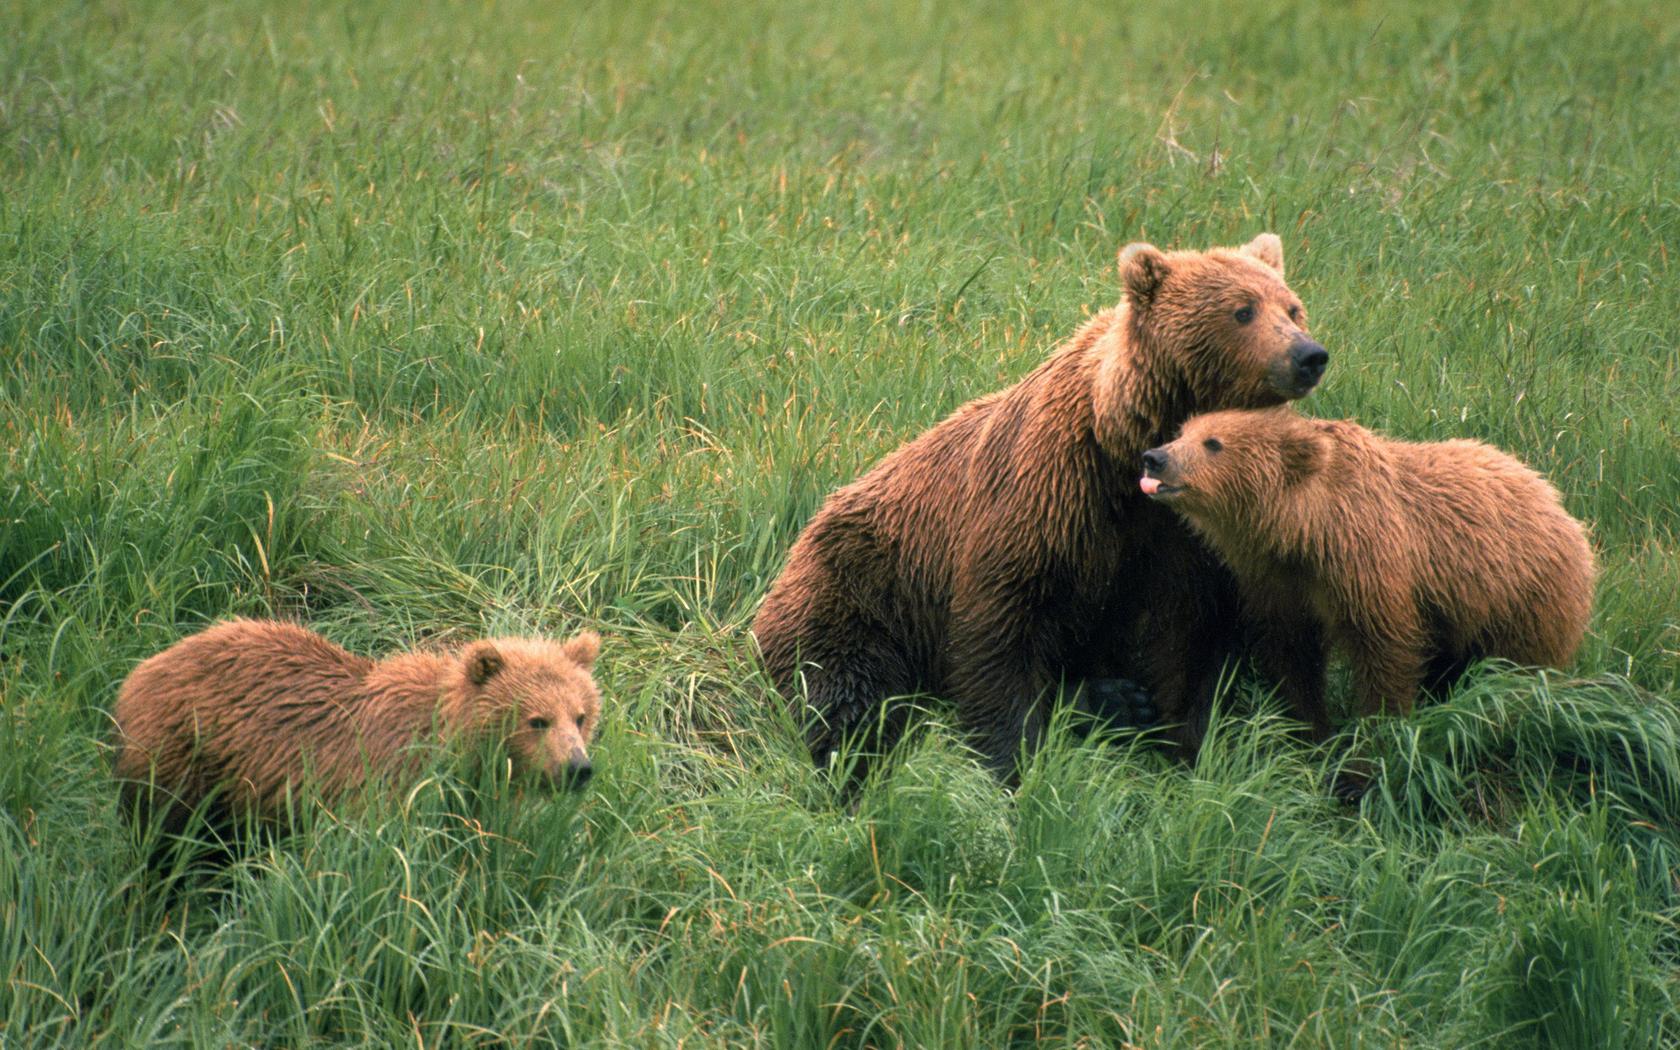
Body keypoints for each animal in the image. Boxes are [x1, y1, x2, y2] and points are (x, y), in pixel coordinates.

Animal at [111, 618, 604, 842]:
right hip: (183, 754)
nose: (578, 768)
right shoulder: (386, 780)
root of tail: (143, 667)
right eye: (536, 719)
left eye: (580, 715)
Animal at [753, 233, 1330, 779]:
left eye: (1292, 307)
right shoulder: (1051, 493)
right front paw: (1011, 759)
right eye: (1242, 310)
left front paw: (1186, 744)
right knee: (841, 682)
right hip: (864, 587)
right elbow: (1003, 624)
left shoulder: (1196, 532)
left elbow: (1190, 637)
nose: (1309, 355)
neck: (1131, 450)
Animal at [1139, 406, 1597, 733]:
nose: (1154, 458)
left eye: (1213, 442)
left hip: (1522, 598)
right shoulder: (1276, 582)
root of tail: (1556, 500)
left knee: (1515, 668)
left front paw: (1373, 738)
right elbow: (1291, 654)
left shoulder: (1370, 566)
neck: (1307, 530)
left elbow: (1386, 654)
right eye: (1183, 432)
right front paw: (1311, 730)